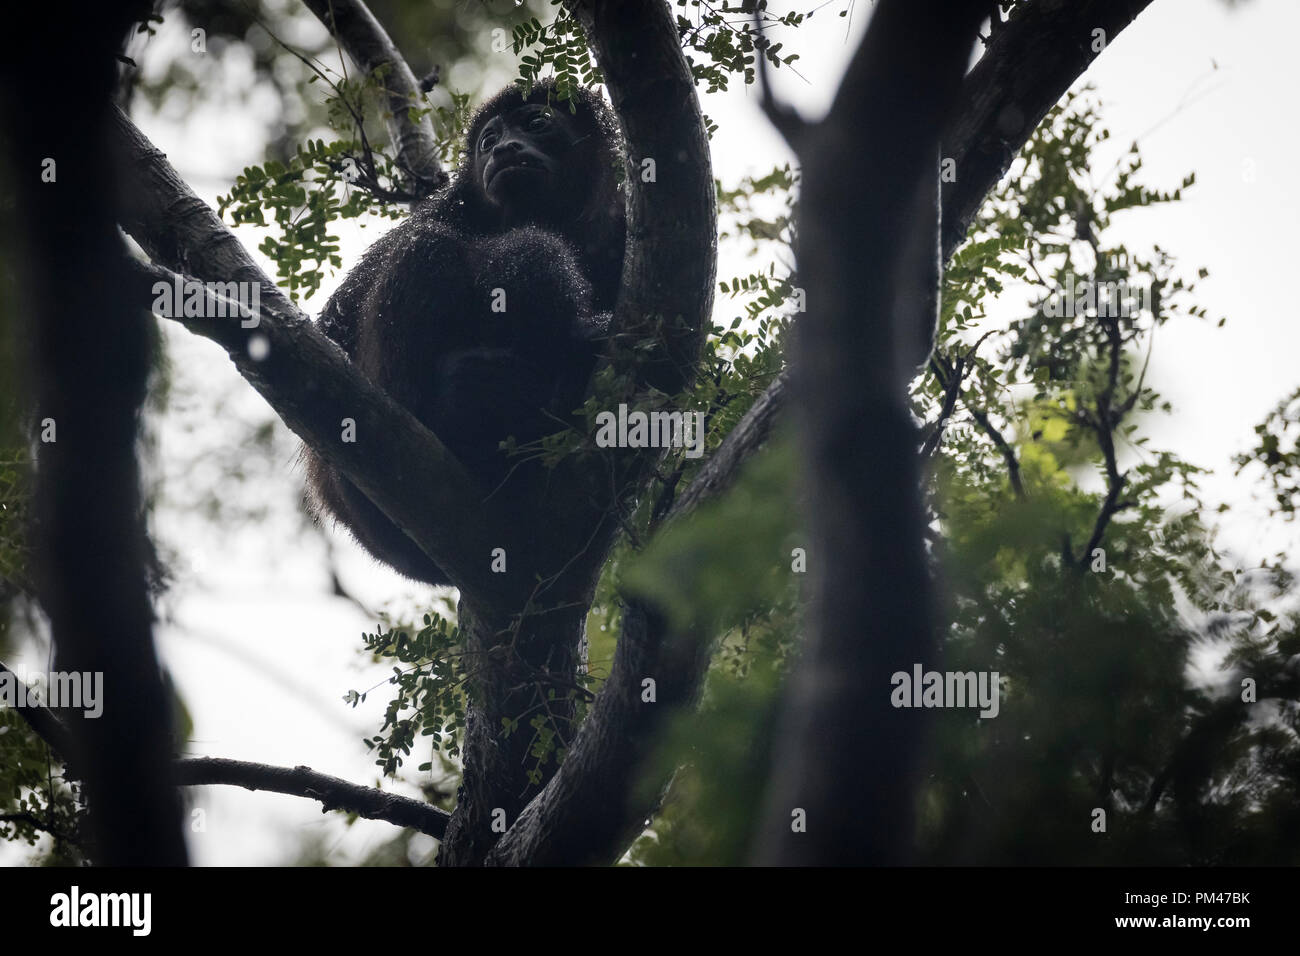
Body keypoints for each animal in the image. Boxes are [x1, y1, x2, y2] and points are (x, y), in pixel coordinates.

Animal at [304, 80, 626, 585]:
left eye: (537, 123)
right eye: (488, 141)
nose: (505, 149)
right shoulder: (448, 206)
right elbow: (340, 319)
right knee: (425, 251)